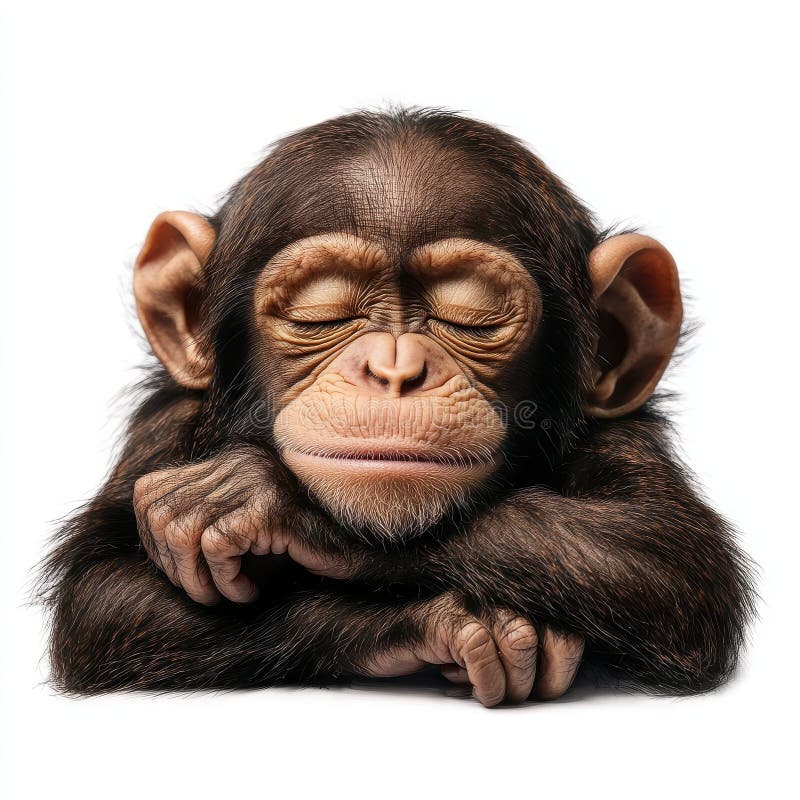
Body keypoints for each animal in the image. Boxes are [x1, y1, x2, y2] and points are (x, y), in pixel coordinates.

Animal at [39, 107, 755, 706]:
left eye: (468, 318)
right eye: (323, 314)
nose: (394, 369)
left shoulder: (619, 438)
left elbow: (668, 561)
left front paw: (272, 499)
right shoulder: (166, 431)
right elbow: (107, 597)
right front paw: (444, 623)